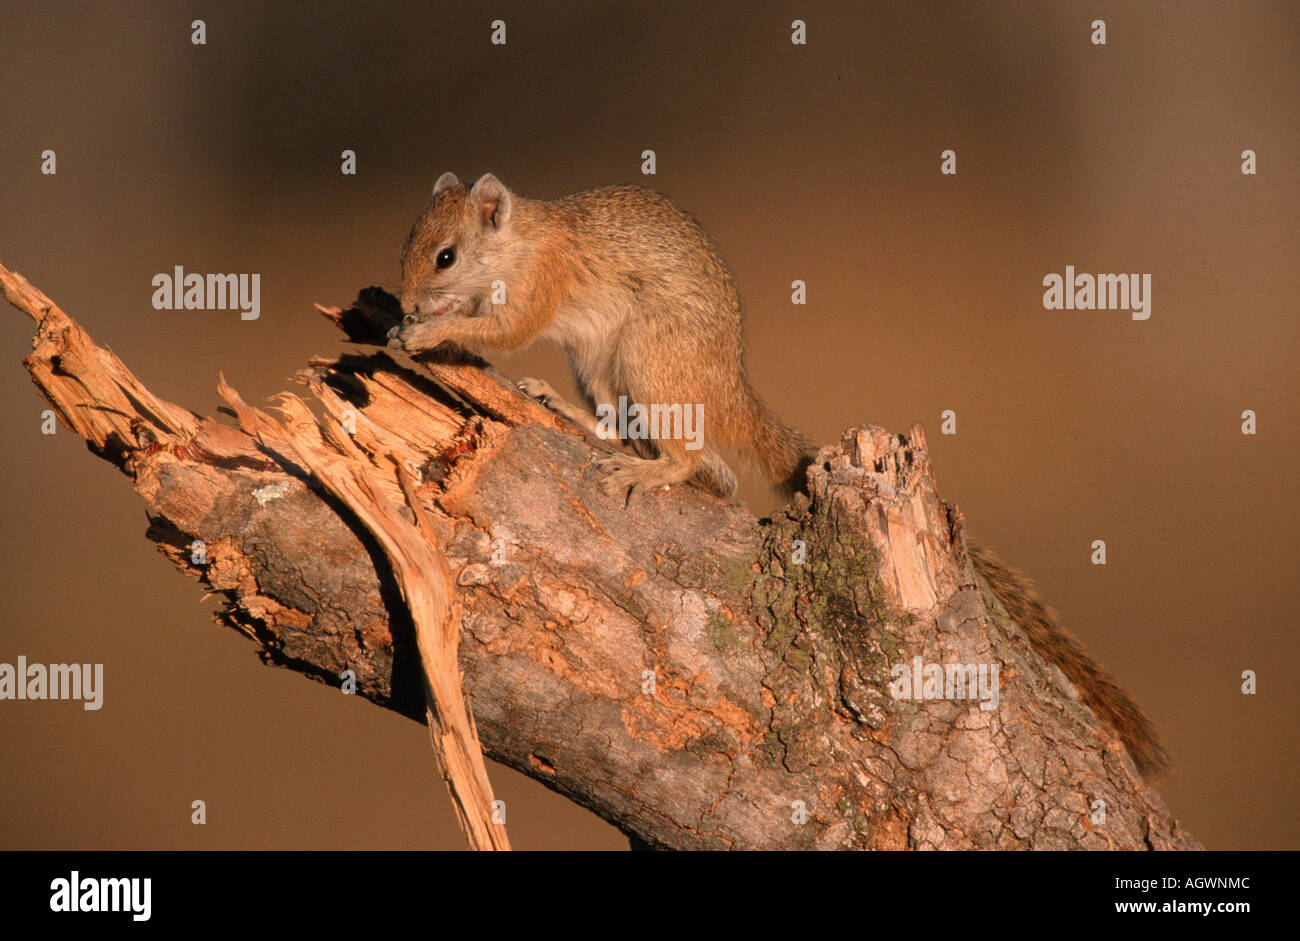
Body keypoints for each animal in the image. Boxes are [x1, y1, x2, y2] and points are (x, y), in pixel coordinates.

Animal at [389, 172, 1167, 779]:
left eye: (447, 256)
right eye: (409, 247)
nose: (407, 303)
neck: (518, 242)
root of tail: (729, 387)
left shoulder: (540, 286)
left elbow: (509, 329)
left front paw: (428, 333)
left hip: (651, 357)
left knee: (699, 464)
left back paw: (646, 470)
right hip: (605, 371)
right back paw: (575, 418)